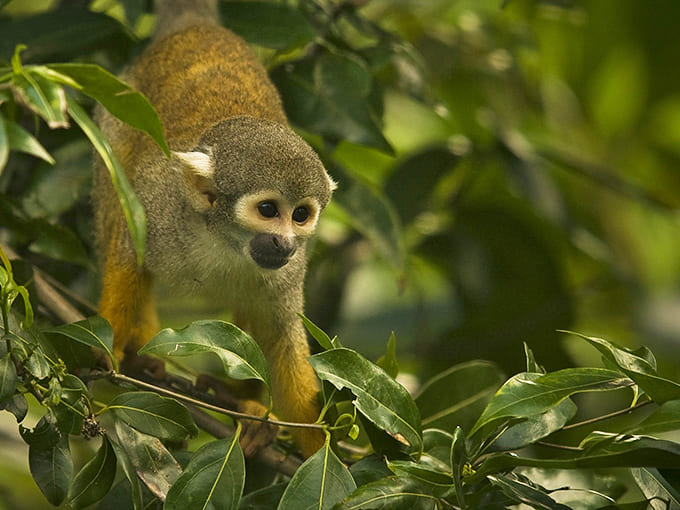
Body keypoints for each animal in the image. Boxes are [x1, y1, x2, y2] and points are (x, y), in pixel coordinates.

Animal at [91, 0, 333, 457]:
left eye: (300, 215)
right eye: (268, 209)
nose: (285, 243)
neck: (224, 242)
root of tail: (197, 25)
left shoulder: (290, 271)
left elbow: (281, 338)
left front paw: (325, 451)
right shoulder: (160, 208)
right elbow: (129, 253)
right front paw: (107, 350)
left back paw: (243, 401)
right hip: (115, 109)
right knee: (115, 194)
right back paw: (141, 345)